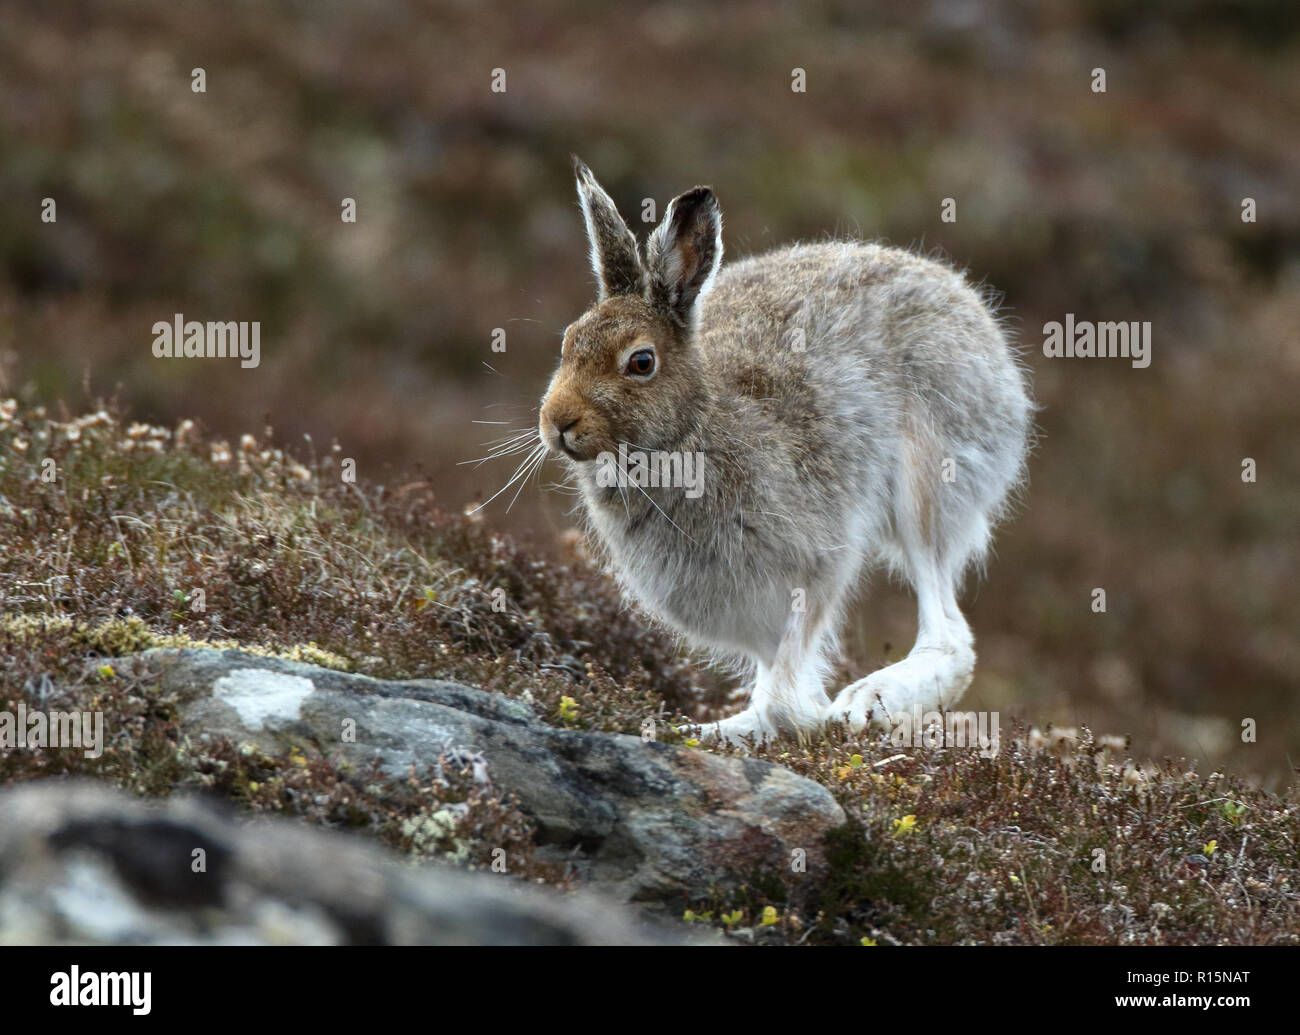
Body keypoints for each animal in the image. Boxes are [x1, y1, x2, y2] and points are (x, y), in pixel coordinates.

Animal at [537, 157, 1033, 746]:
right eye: (568, 341)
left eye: (641, 362)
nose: (557, 422)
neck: (691, 431)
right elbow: (772, 689)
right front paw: (715, 731)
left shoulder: (819, 567)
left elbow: (786, 699)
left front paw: (824, 720)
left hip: (929, 480)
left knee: (949, 632)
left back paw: (868, 702)